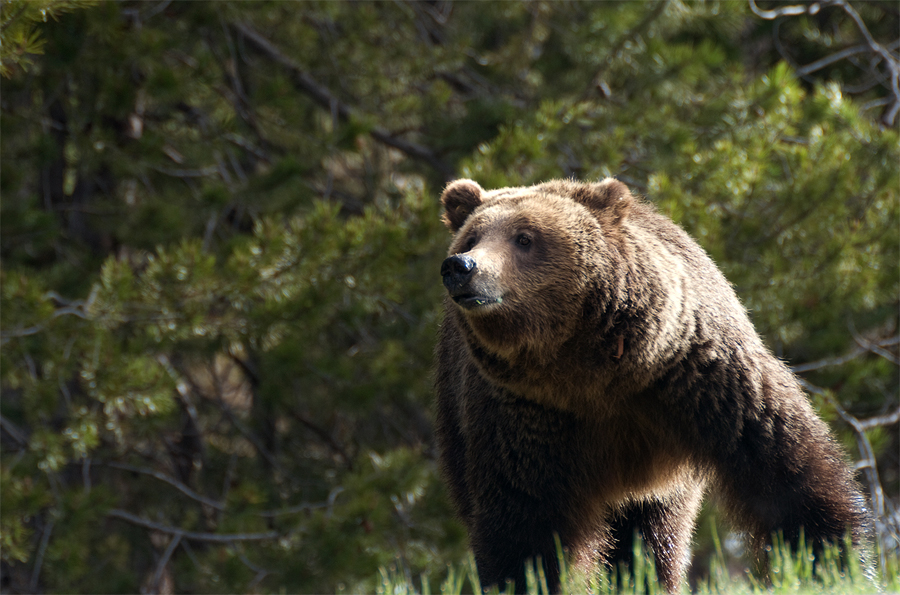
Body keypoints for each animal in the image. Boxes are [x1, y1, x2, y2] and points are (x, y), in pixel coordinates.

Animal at [433, 177, 868, 593]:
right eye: (472, 237)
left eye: (524, 237)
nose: (461, 265)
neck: (591, 372)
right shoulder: (528, 416)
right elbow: (524, 525)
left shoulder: (696, 376)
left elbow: (785, 471)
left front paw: (837, 563)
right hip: (455, 422)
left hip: (663, 486)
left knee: (655, 538)